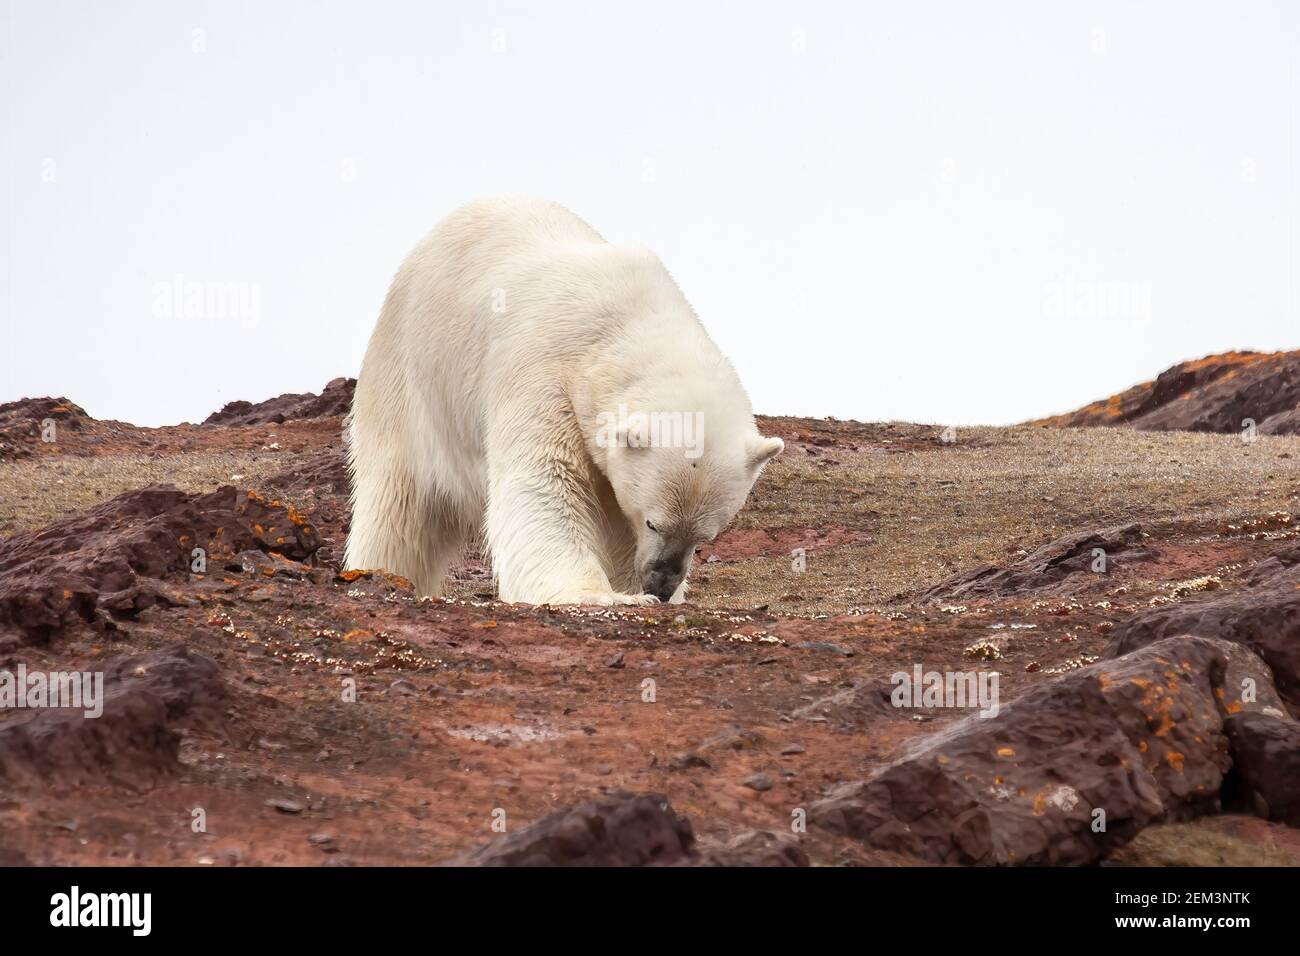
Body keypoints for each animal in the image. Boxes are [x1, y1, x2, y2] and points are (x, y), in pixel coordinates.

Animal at [344, 197, 783, 605]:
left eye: (705, 536)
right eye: (654, 523)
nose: (660, 586)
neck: (624, 325)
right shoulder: (545, 371)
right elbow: (545, 479)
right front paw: (600, 594)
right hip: (409, 383)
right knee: (399, 510)